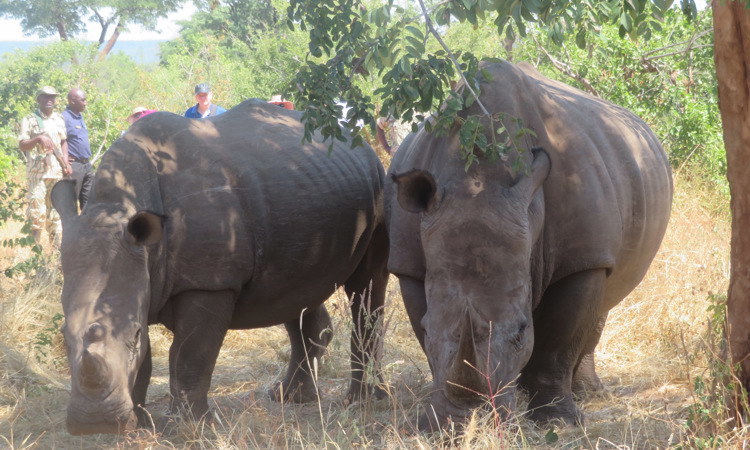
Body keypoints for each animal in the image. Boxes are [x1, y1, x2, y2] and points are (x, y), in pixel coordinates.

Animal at [51, 100, 389, 435]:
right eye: (64, 335)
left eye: (134, 335)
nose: (95, 424)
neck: (118, 207)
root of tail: (362, 145)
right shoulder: (138, 272)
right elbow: (146, 361)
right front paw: (138, 427)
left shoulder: (209, 281)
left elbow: (190, 354)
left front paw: (189, 429)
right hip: (304, 191)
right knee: (297, 291)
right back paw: (289, 397)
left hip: (378, 189)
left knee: (366, 290)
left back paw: (362, 402)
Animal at [386, 61, 672, 429]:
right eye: (425, 328)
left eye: (521, 331)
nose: (469, 419)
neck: (478, 179)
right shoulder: (409, 262)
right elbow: (429, 335)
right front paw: (432, 421)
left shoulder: (583, 258)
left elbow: (556, 344)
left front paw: (557, 422)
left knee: (604, 300)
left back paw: (587, 394)